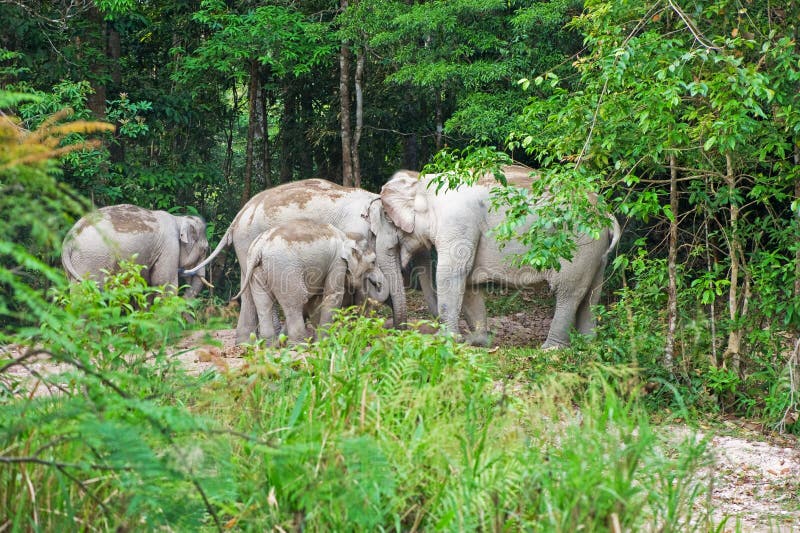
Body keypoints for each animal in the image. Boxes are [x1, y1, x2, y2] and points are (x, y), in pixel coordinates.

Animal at [61, 204, 210, 298]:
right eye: (205, 249)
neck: (178, 219)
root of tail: (69, 238)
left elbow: (147, 285)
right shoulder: (169, 246)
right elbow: (164, 283)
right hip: (92, 258)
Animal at [233, 220, 388, 344]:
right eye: (373, 261)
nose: (377, 284)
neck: (347, 235)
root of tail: (259, 247)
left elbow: (315, 301)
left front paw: (317, 341)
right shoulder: (337, 262)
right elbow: (333, 295)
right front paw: (324, 343)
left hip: (257, 271)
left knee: (263, 302)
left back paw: (268, 346)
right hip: (285, 269)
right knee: (295, 301)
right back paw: (299, 345)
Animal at [378, 165, 621, 348]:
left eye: (387, 219)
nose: (399, 331)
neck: (423, 180)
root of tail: (608, 214)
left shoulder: (458, 220)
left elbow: (453, 274)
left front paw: (447, 341)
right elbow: (469, 283)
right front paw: (477, 342)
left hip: (578, 245)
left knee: (568, 292)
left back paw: (551, 349)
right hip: (596, 250)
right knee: (592, 293)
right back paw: (587, 344)